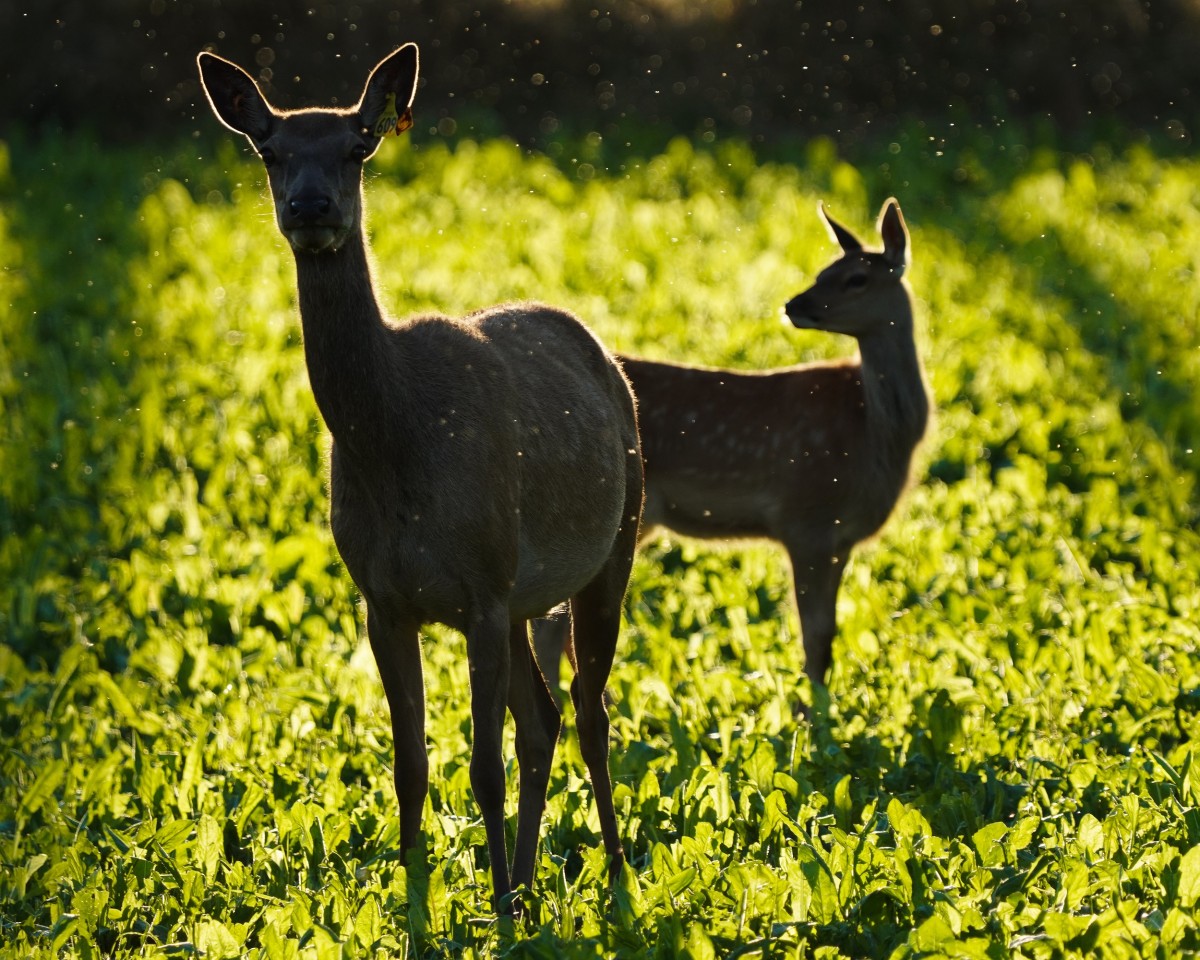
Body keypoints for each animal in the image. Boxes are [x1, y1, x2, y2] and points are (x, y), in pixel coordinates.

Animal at [196, 45, 643, 913]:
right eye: (269, 150)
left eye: (356, 148)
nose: (310, 205)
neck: (399, 450)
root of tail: (608, 361)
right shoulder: (384, 598)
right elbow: (411, 770)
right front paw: (419, 912)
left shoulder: (482, 587)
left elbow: (482, 769)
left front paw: (495, 917)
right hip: (522, 596)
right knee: (542, 718)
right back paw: (528, 883)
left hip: (614, 541)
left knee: (590, 710)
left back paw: (608, 876)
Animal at [534, 199, 928, 711]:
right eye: (824, 272)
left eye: (856, 278)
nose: (794, 305)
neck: (873, 431)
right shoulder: (806, 521)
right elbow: (816, 635)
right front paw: (812, 714)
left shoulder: (838, 539)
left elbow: (828, 634)